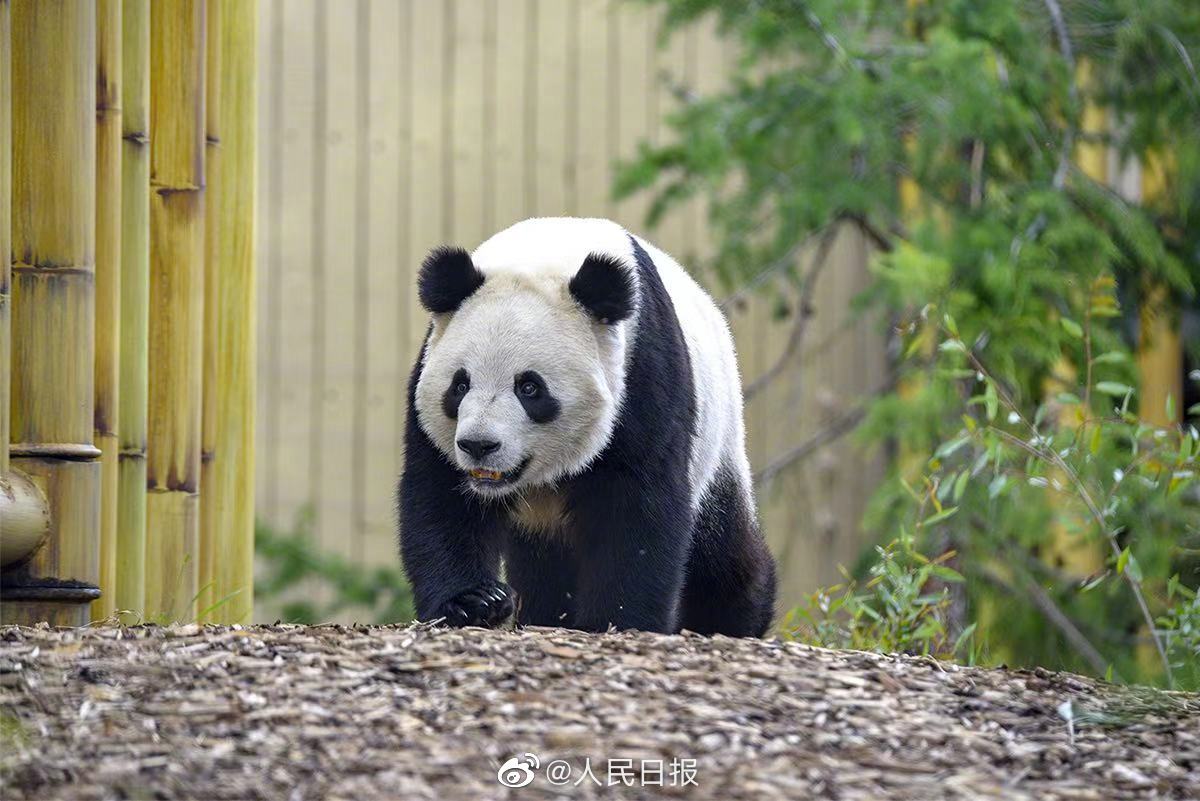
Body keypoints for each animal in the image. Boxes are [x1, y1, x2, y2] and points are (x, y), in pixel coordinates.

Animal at [398, 217, 776, 636]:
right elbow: (441, 498)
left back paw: (738, 616)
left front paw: (619, 620)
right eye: (460, 385)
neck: (546, 249)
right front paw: (476, 602)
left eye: (529, 388)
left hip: (718, 441)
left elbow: (636, 506)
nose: (479, 445)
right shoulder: (431, 387)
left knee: (721, 552)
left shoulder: (642, 376)